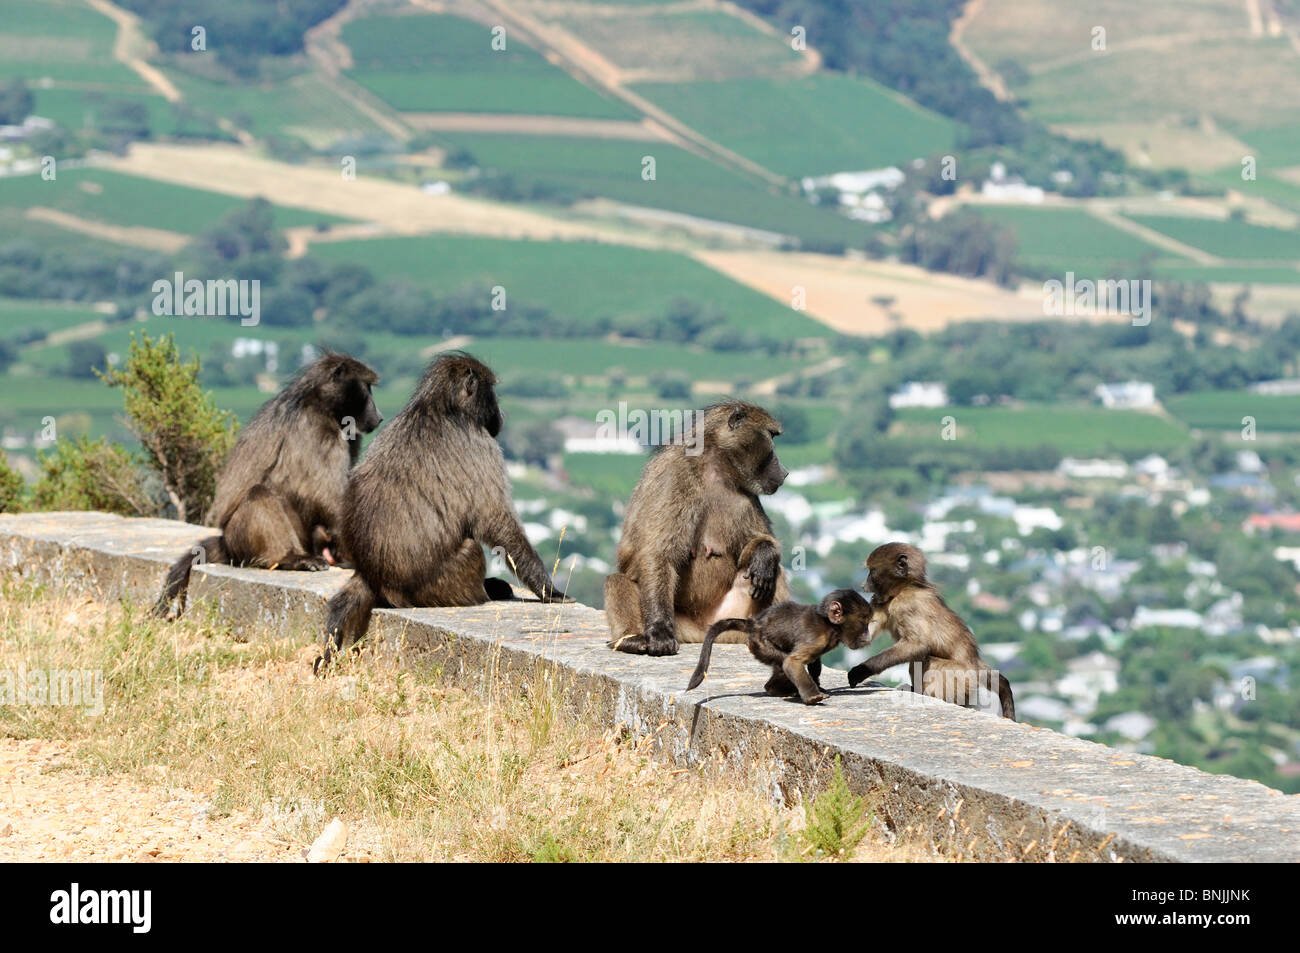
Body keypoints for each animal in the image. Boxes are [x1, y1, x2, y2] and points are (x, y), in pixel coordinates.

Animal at [154, 353, 381, 618]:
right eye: (367, 387)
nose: (379, 416)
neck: (319, 402)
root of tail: (225, 542)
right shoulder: (318, 429)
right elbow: (324, 494)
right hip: (240, 536)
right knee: (259, 495)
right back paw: (292, 558)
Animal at [318, 352, 568, 672]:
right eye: (492, 392)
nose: (501, 415)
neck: (438, 407)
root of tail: (373, 577)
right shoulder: (482, 444)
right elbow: (498, 523)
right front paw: (551, 591)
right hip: (437, 585)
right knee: (472, 549)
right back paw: (487, 592)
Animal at [605, 401, 790, 657]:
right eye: (772, 436)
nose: (784, 472)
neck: (714, 467)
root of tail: (704, 632)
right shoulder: (675, 476)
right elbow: (658, 553)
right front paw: (658, 632)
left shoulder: (747, 497)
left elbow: (760, 541)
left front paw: (764, 553)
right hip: (682, 626)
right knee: (617, 580)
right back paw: (631, 640)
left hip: (736, 624)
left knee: (773, 571)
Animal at [686, 589, 877, 705]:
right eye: (863, 621)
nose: (868, 636)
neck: (830, 625)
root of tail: (755, 624)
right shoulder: (817, 638)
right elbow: (792, 662)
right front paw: (813, 695)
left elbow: (813, 661)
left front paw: (818, 686)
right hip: (760, 644)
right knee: (782, 661)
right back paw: (775, 689)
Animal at [847, 542, 1016, 720]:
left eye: (872, 571)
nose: (863, 585)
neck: (905, 588)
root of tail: (976, 665)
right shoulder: (883, 603)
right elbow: (863, 638)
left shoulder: (907, 605)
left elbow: (918, 645)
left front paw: (861, 670)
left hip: (962, 678)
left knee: (925, 658)